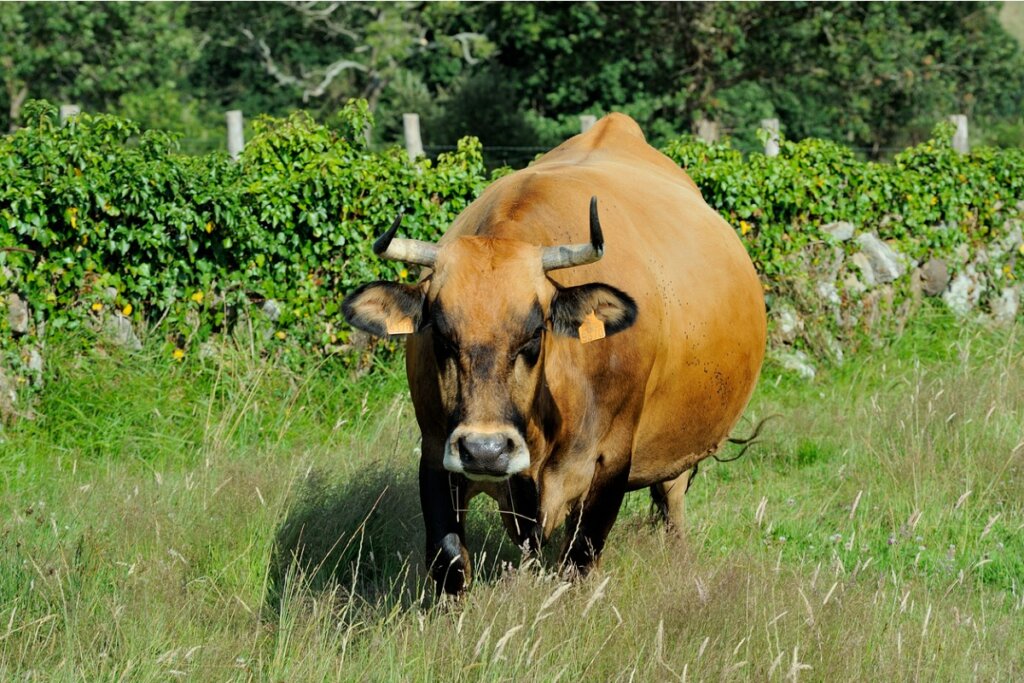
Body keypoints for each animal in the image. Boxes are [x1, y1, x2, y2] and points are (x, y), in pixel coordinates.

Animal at [344, 112, 770, 593]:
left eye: (534, 334)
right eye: (441, 335)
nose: (485, 451)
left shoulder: (610, 462)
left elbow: (580, 555)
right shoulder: (436, 452)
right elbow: (449, 557)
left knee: (670, 501)